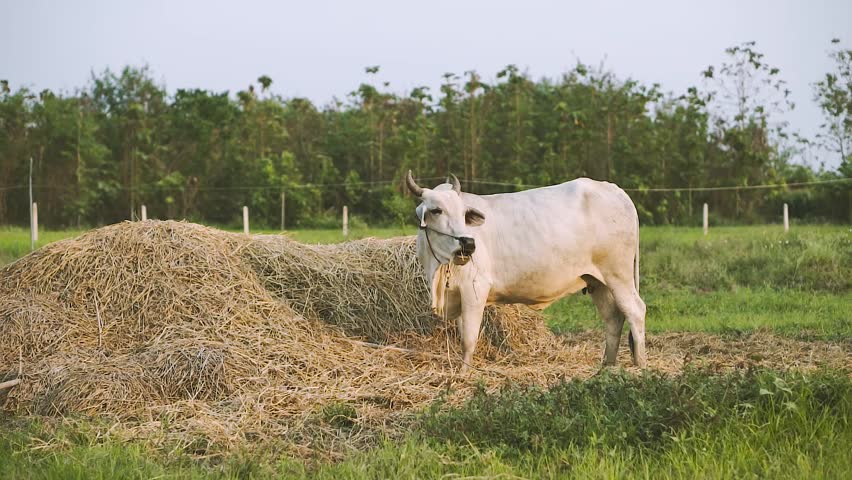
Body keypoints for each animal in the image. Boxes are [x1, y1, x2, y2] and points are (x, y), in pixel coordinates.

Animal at [406, 171, 646, 373]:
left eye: (464, 213)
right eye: (437, 210)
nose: (468, 243)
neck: (437, 267)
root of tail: (615, 190)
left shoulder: (475, 290)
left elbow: (468, 339)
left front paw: (465, 373)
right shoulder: (458, 294)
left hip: (619, 275)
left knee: (635, 310)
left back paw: (640, 365)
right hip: (598, 281)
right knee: (613, 318)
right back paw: (607, 366)